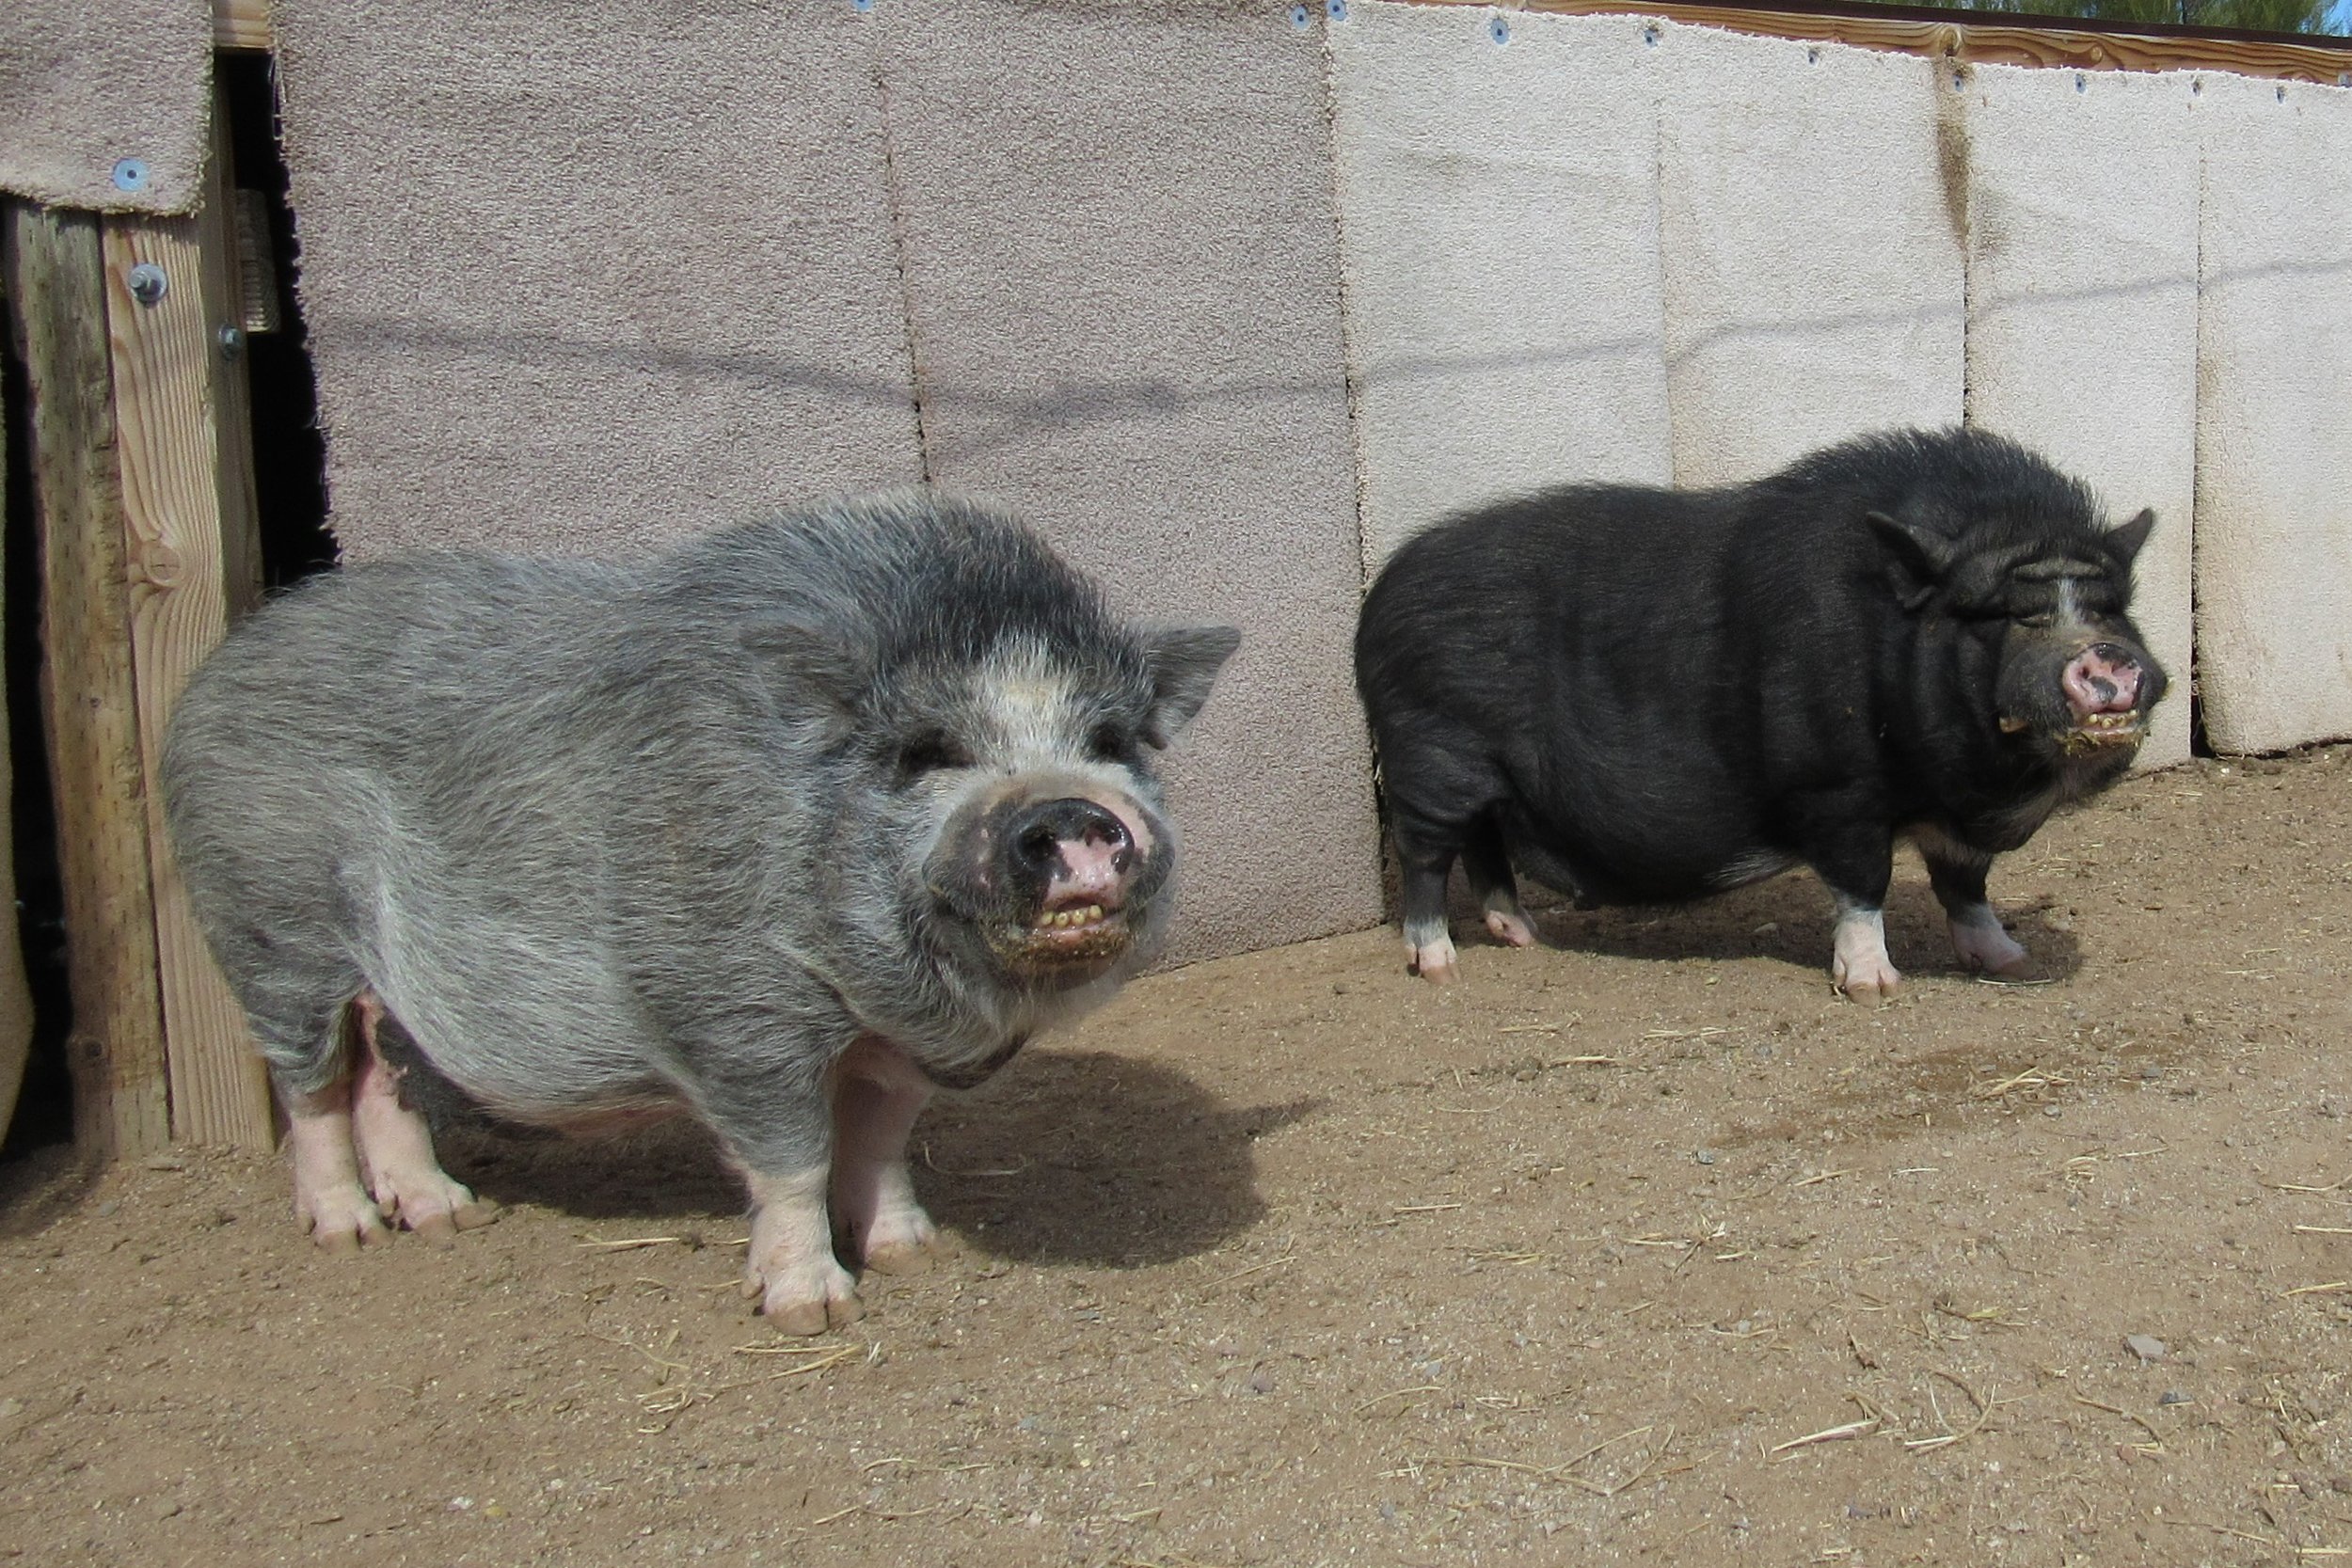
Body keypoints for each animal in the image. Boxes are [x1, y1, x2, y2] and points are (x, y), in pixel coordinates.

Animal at [162, 494, 1239, 1332]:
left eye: (1111, 741)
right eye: (926, 752)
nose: (1071, 812)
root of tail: (212, 674)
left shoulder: (889, 1043)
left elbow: (880, 1136)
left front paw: (909, 1251)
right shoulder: (728, 1005)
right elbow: (794, 1157)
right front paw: (814, 1308)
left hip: (371, 973)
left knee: (384, 1067)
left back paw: (446, 1214)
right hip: (270, 920)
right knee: (308, 1081)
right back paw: (346, 1230)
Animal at [1353, 426, 2166, 999]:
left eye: (2109, 608)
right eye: (2005, 614)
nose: (2109, 659)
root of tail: (1376, 603)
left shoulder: (1953, 820)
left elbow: (1966, 886)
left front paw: (2012, 960)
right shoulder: (1836, 788)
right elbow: (1864, 884)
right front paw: (1873, 987)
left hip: (1489, 780)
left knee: (1485, 847)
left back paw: (1520, 934)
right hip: (1432, 759)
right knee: (1427, 858)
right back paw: (1439, 966)